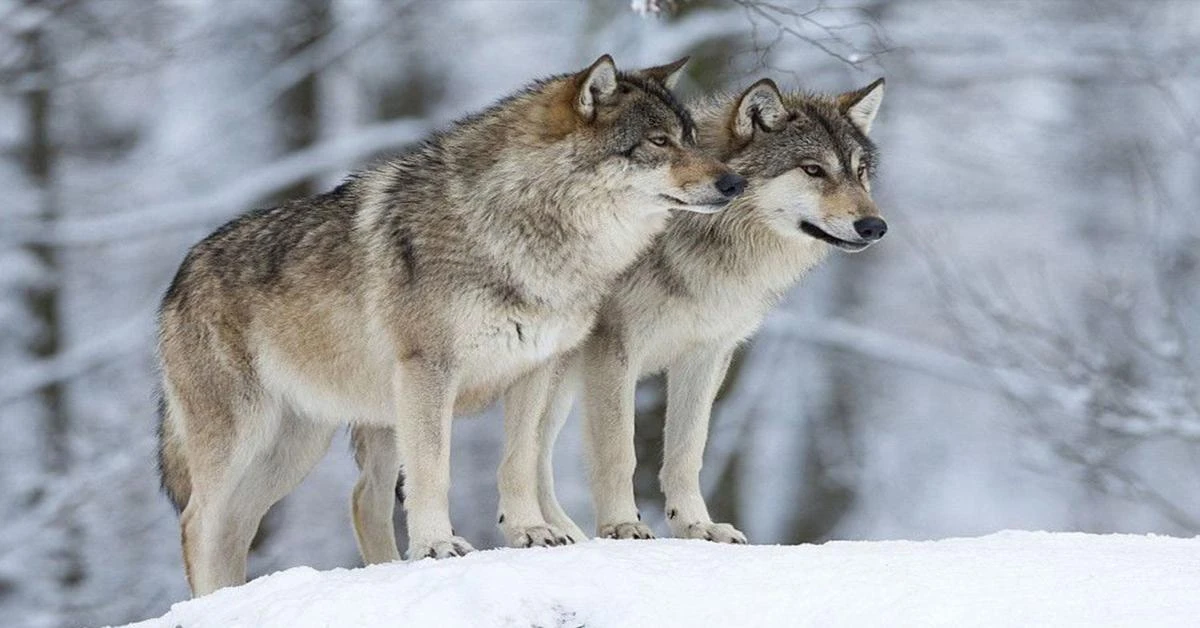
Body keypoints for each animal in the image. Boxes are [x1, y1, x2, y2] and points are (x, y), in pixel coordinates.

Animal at [157, 54, 745, 596]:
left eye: (692, 139)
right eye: (659, 142)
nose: (734, 182)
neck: (522, 228)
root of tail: (180, 276)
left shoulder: (535, 370)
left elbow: (517, 462)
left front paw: (530, 532)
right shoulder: (430, 373)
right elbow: (433, 471)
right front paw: (438, 545)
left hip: (300, 446)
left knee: (287, 515)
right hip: (247, 440)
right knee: (198, 523)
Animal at [493, 76, 888, 544]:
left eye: (859, 172)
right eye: (813, 170)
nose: (875, 226)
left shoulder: (707, 355)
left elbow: (687, 451)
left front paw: (696, 525)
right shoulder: (613, 352)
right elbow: (618, 450)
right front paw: (623, 524)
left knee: (534, 458)